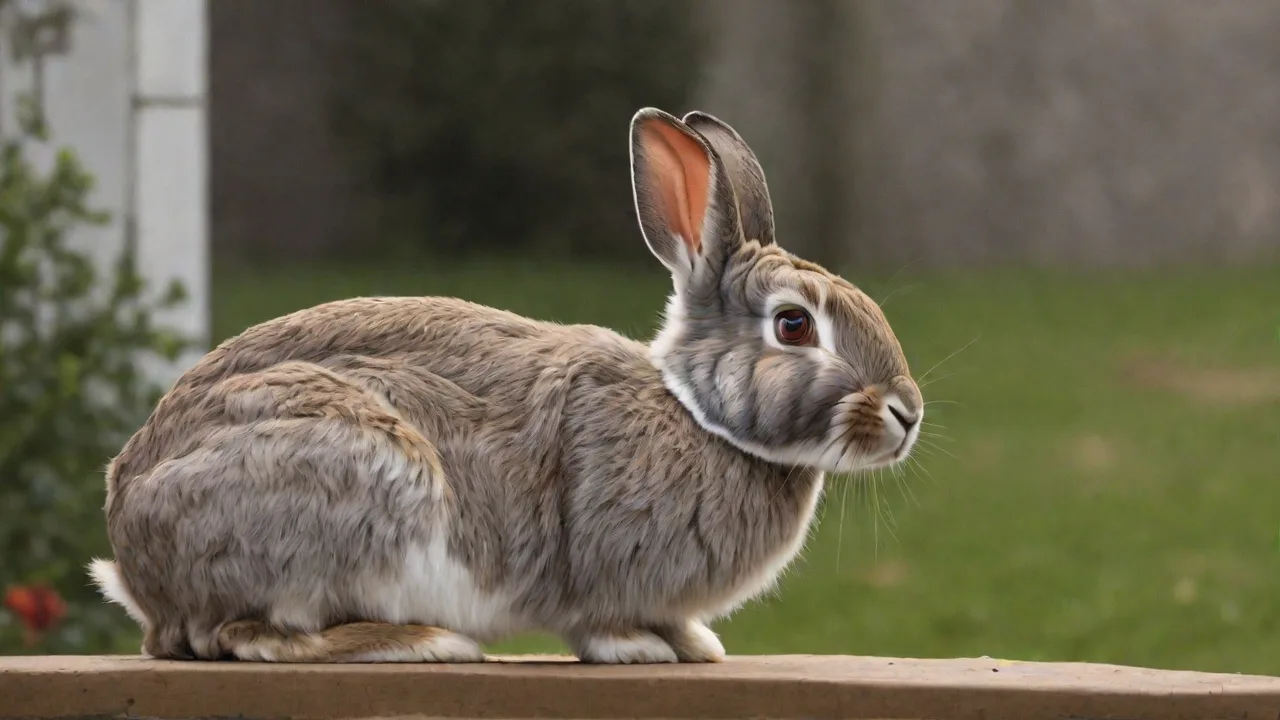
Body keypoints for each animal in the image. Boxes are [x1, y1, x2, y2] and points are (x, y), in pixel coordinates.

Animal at [88, 107, 924, 664]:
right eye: (794, 325)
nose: (907, 414)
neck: (696, 414)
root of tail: (133, 557)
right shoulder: (596, 560)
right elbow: (600, 621)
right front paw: (640, 649)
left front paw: (696, 645)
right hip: (353, 471)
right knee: (248, 635)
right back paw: (427, 641)